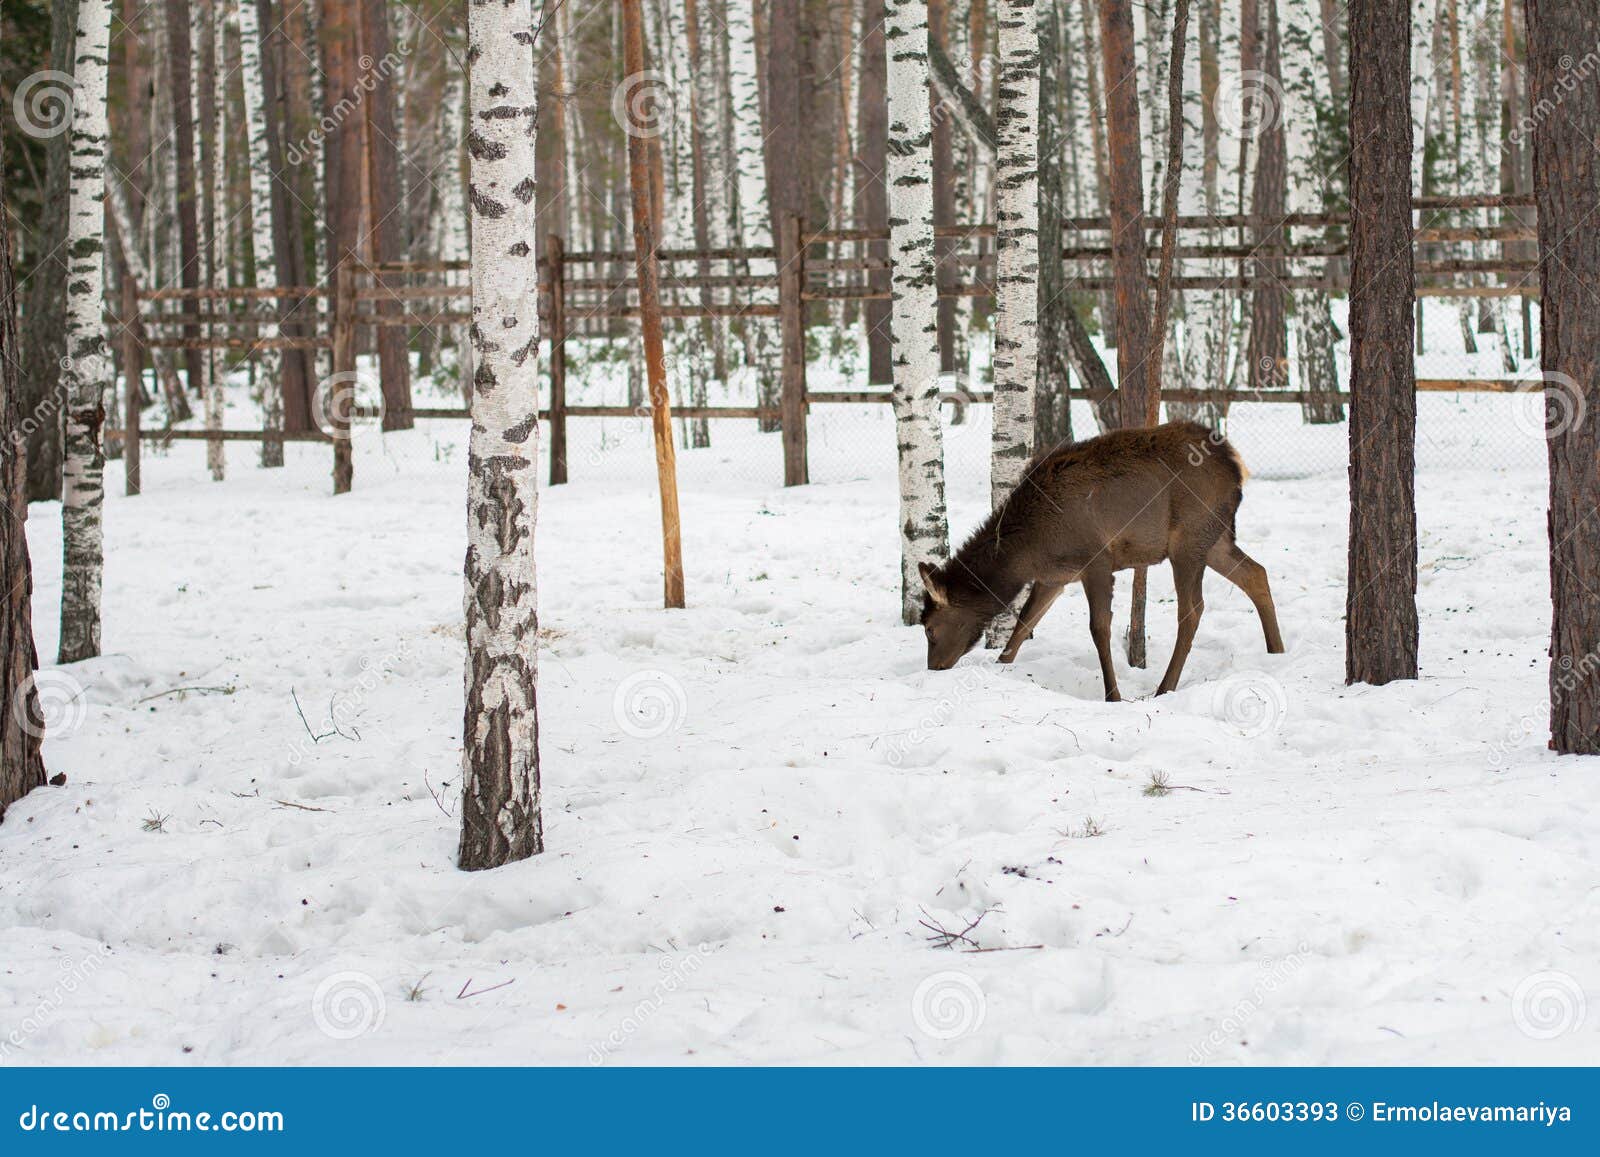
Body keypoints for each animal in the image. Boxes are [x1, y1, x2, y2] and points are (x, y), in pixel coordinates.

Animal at [917, 421, 1284, 700]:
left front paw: (1113, 695)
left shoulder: (1095, 559)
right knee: (1257, 573)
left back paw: (1165, 687)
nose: (934, 668)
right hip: (1215, 538)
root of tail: (1236, 465)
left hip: (1189, 538)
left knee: (1192, 609)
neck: (1027, 553)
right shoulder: (1054, 577)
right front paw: (1000, 667)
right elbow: (1025, 622)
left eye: (930, 629)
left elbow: (1098, 628)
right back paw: (1277, 652)